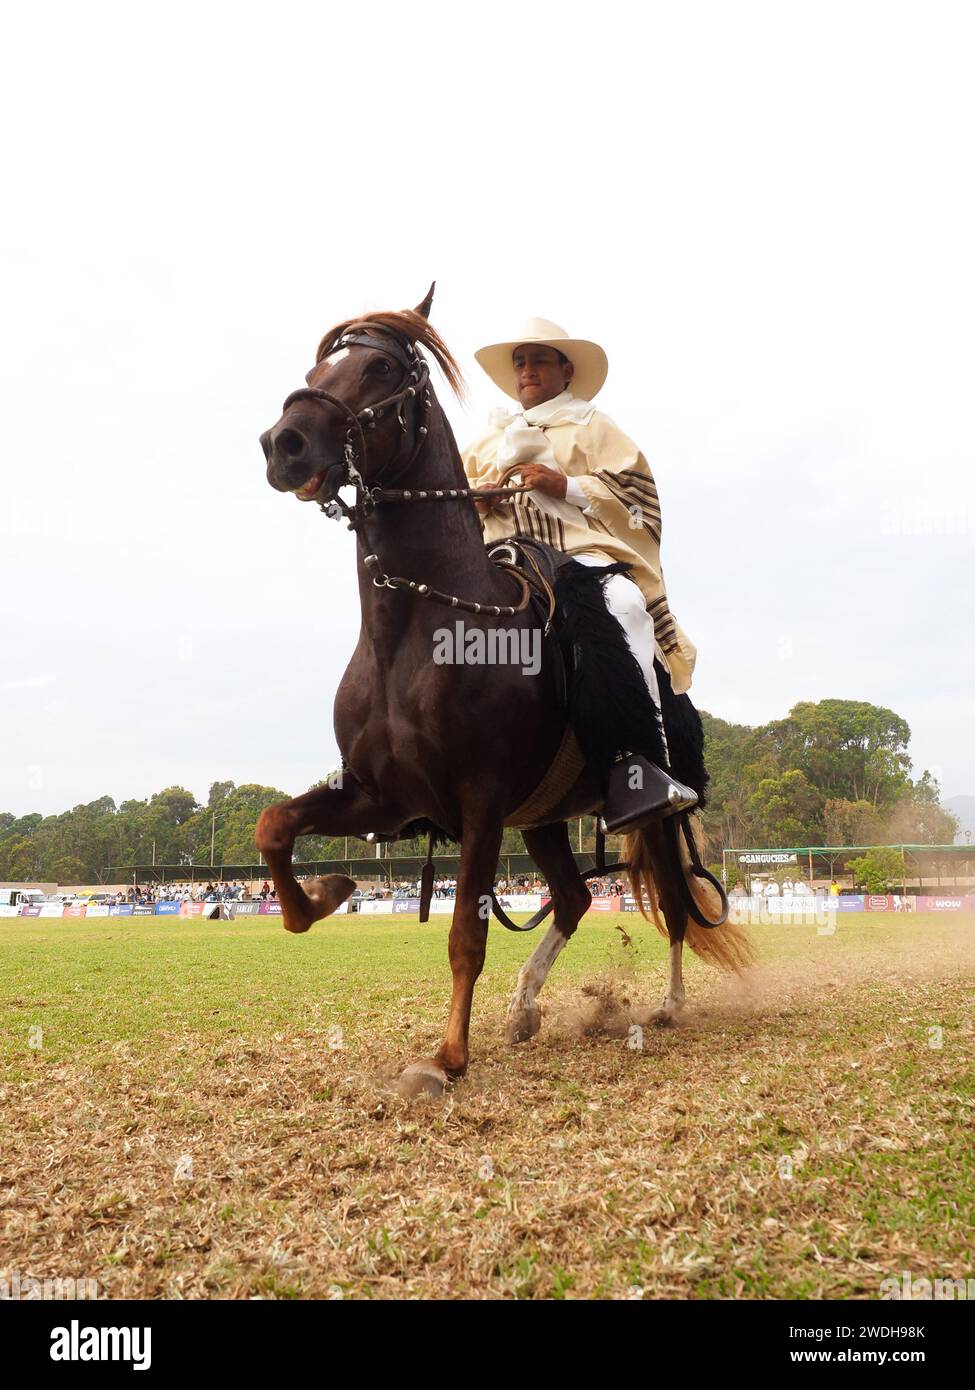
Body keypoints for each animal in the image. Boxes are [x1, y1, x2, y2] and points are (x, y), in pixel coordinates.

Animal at [257, 286, 753, 1095]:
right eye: (313, 368)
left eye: (378, 367)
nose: (284, 444)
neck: (419, 630)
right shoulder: (384, 796)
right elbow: (275, 828)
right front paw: (327, 893)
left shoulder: (479, 800)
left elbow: (466, 931)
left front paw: (447, 1057)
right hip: (545, 819)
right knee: (576, 897)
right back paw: (523, 1008)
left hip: (651, 814)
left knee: (677, 908)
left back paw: (671, 1004)